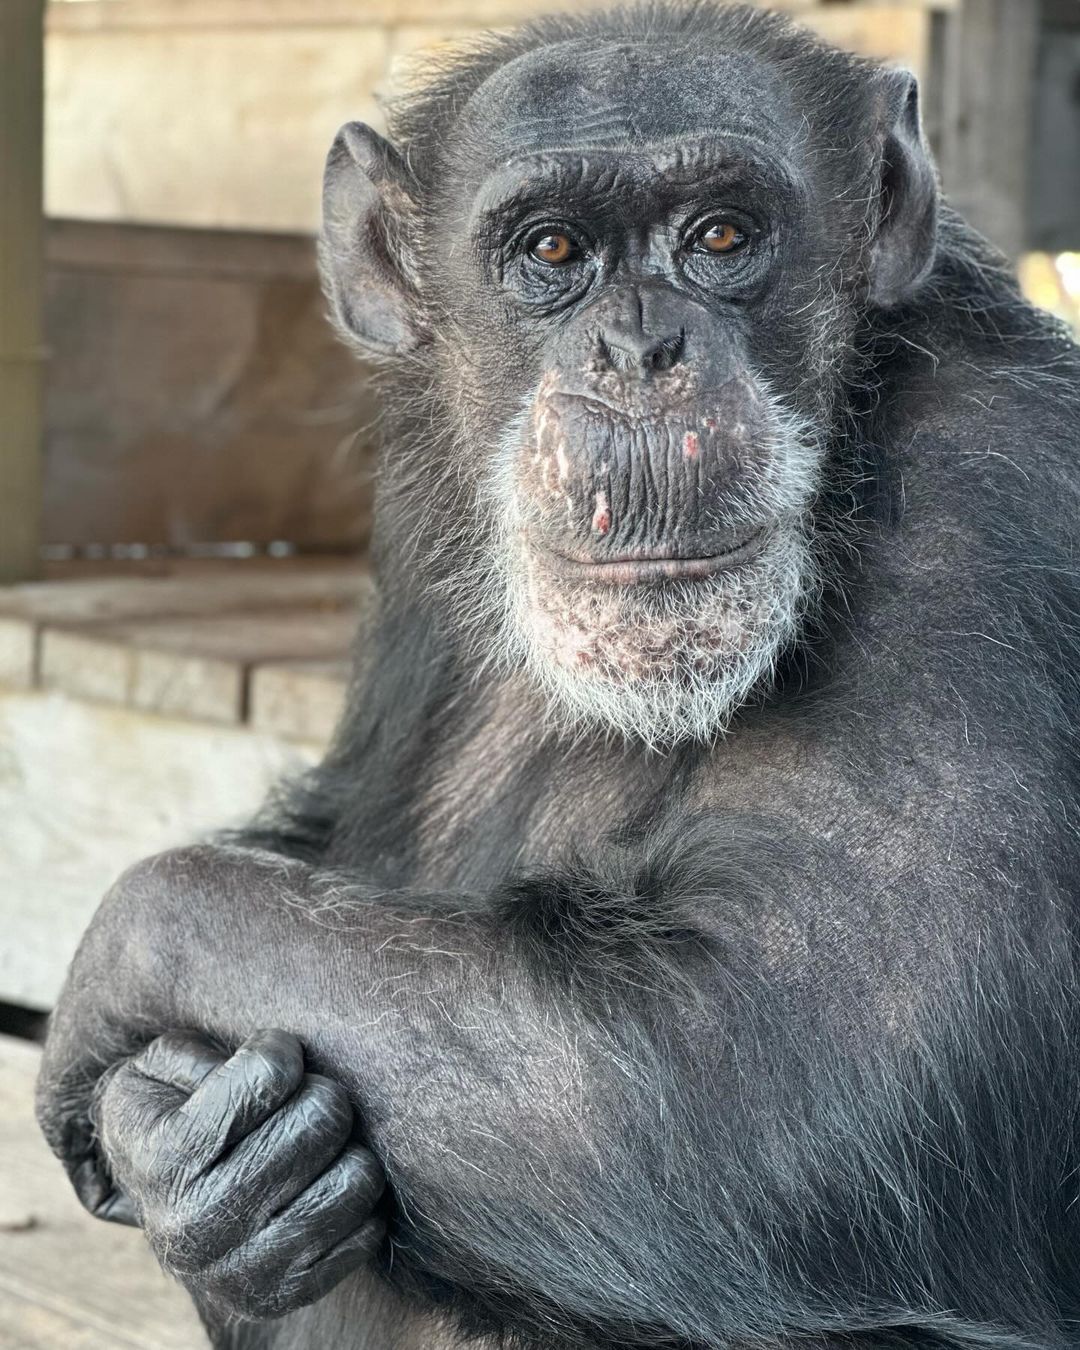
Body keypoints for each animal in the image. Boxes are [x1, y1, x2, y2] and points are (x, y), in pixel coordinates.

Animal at [36, 4, 1080, 1349]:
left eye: (722, 235)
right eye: (553, 249)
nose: (639, 349)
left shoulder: (984, 513)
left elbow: (768, 1062)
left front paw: (120, 959)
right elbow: (330, 831)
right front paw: (182, 1155)